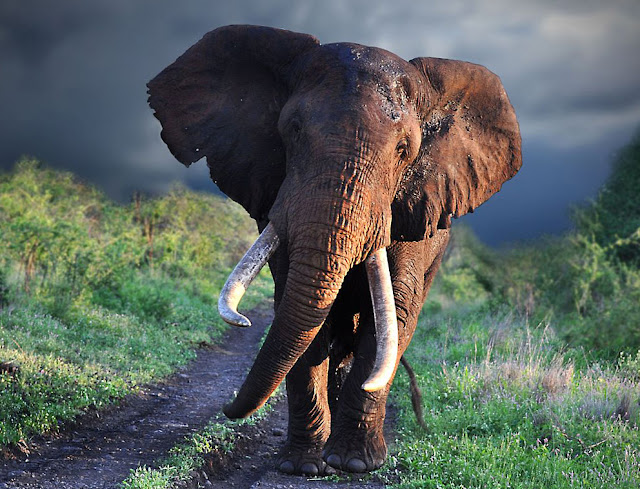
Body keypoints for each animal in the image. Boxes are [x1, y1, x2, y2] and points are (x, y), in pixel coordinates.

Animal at [147, 25, 521, 475]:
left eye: (404, 150)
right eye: (291, 130)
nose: (225, 408)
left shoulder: (416, 211)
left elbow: (393, 312)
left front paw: (354, 463)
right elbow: (299, 308)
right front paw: (302, 467)